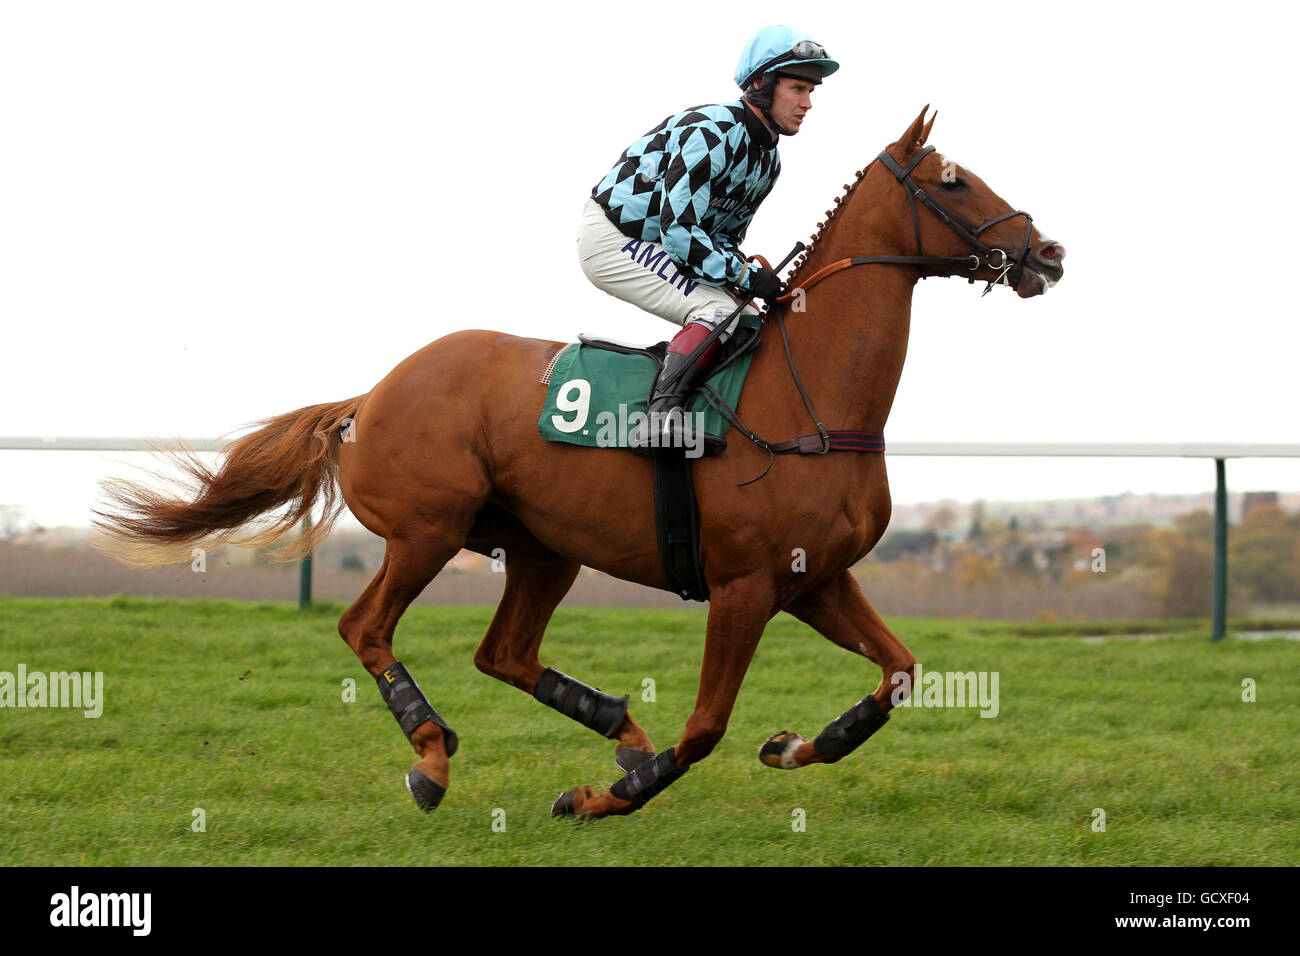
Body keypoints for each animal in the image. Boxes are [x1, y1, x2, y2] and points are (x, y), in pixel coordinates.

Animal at [94, 107, 1065, 820]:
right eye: (951, 179)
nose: (1047, 251)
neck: (809, 396)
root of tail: (369, 397)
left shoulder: (815, 578)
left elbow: (901, 672)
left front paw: (794, 746)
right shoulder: (746, 585)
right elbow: (706, 726)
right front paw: (606, 799)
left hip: (542, 547)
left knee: (504, 653)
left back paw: (618, 727)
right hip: (428, 529)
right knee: (366, 628)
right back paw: (434, 760)